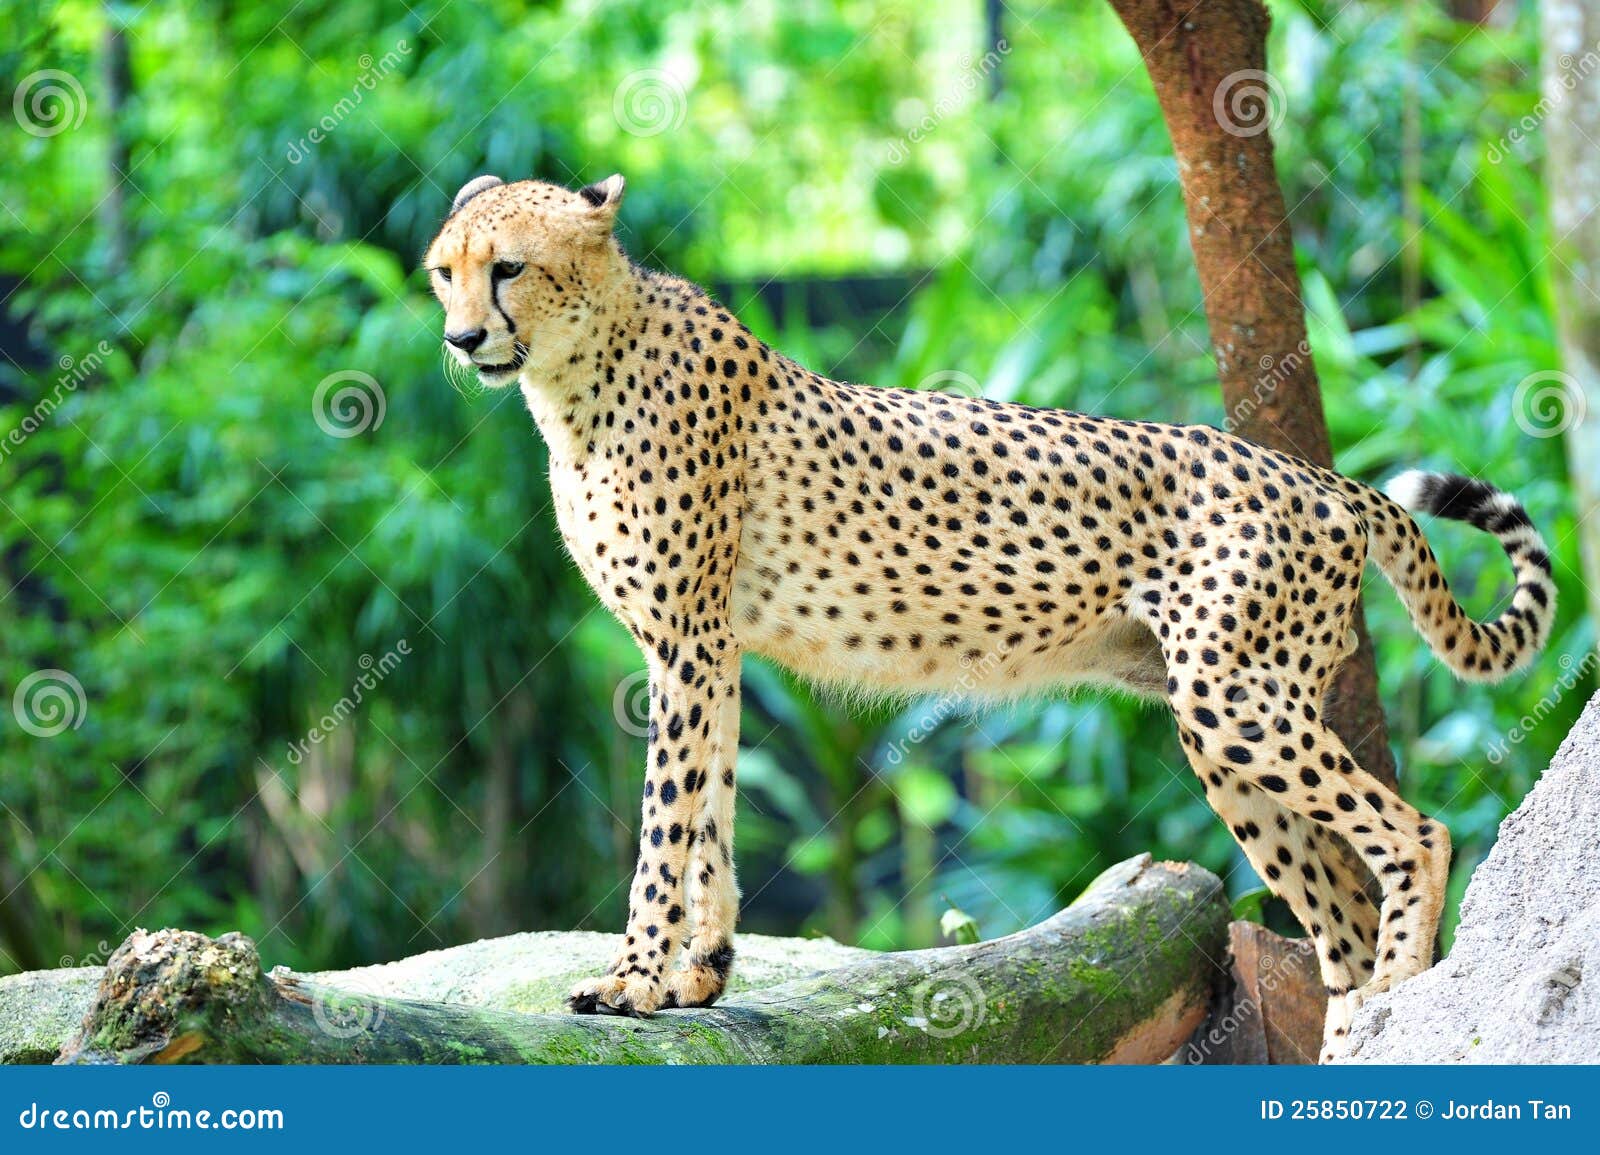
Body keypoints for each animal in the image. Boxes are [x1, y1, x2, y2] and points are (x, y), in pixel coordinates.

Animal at [422, 172, 1555, 1062]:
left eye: (509, 268)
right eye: (444, 272)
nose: (461, 339)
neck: (583, 367)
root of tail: (1321, 477)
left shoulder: (687, 643)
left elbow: (666, 823)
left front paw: (631, 982)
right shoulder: (710, 649)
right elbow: (711, 817)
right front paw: (695, 977)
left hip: (1233, 697)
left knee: (1411, 835)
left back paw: (1405, 1002)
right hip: (1227, 727)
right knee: (1339, 920)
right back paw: (1358, 1032)